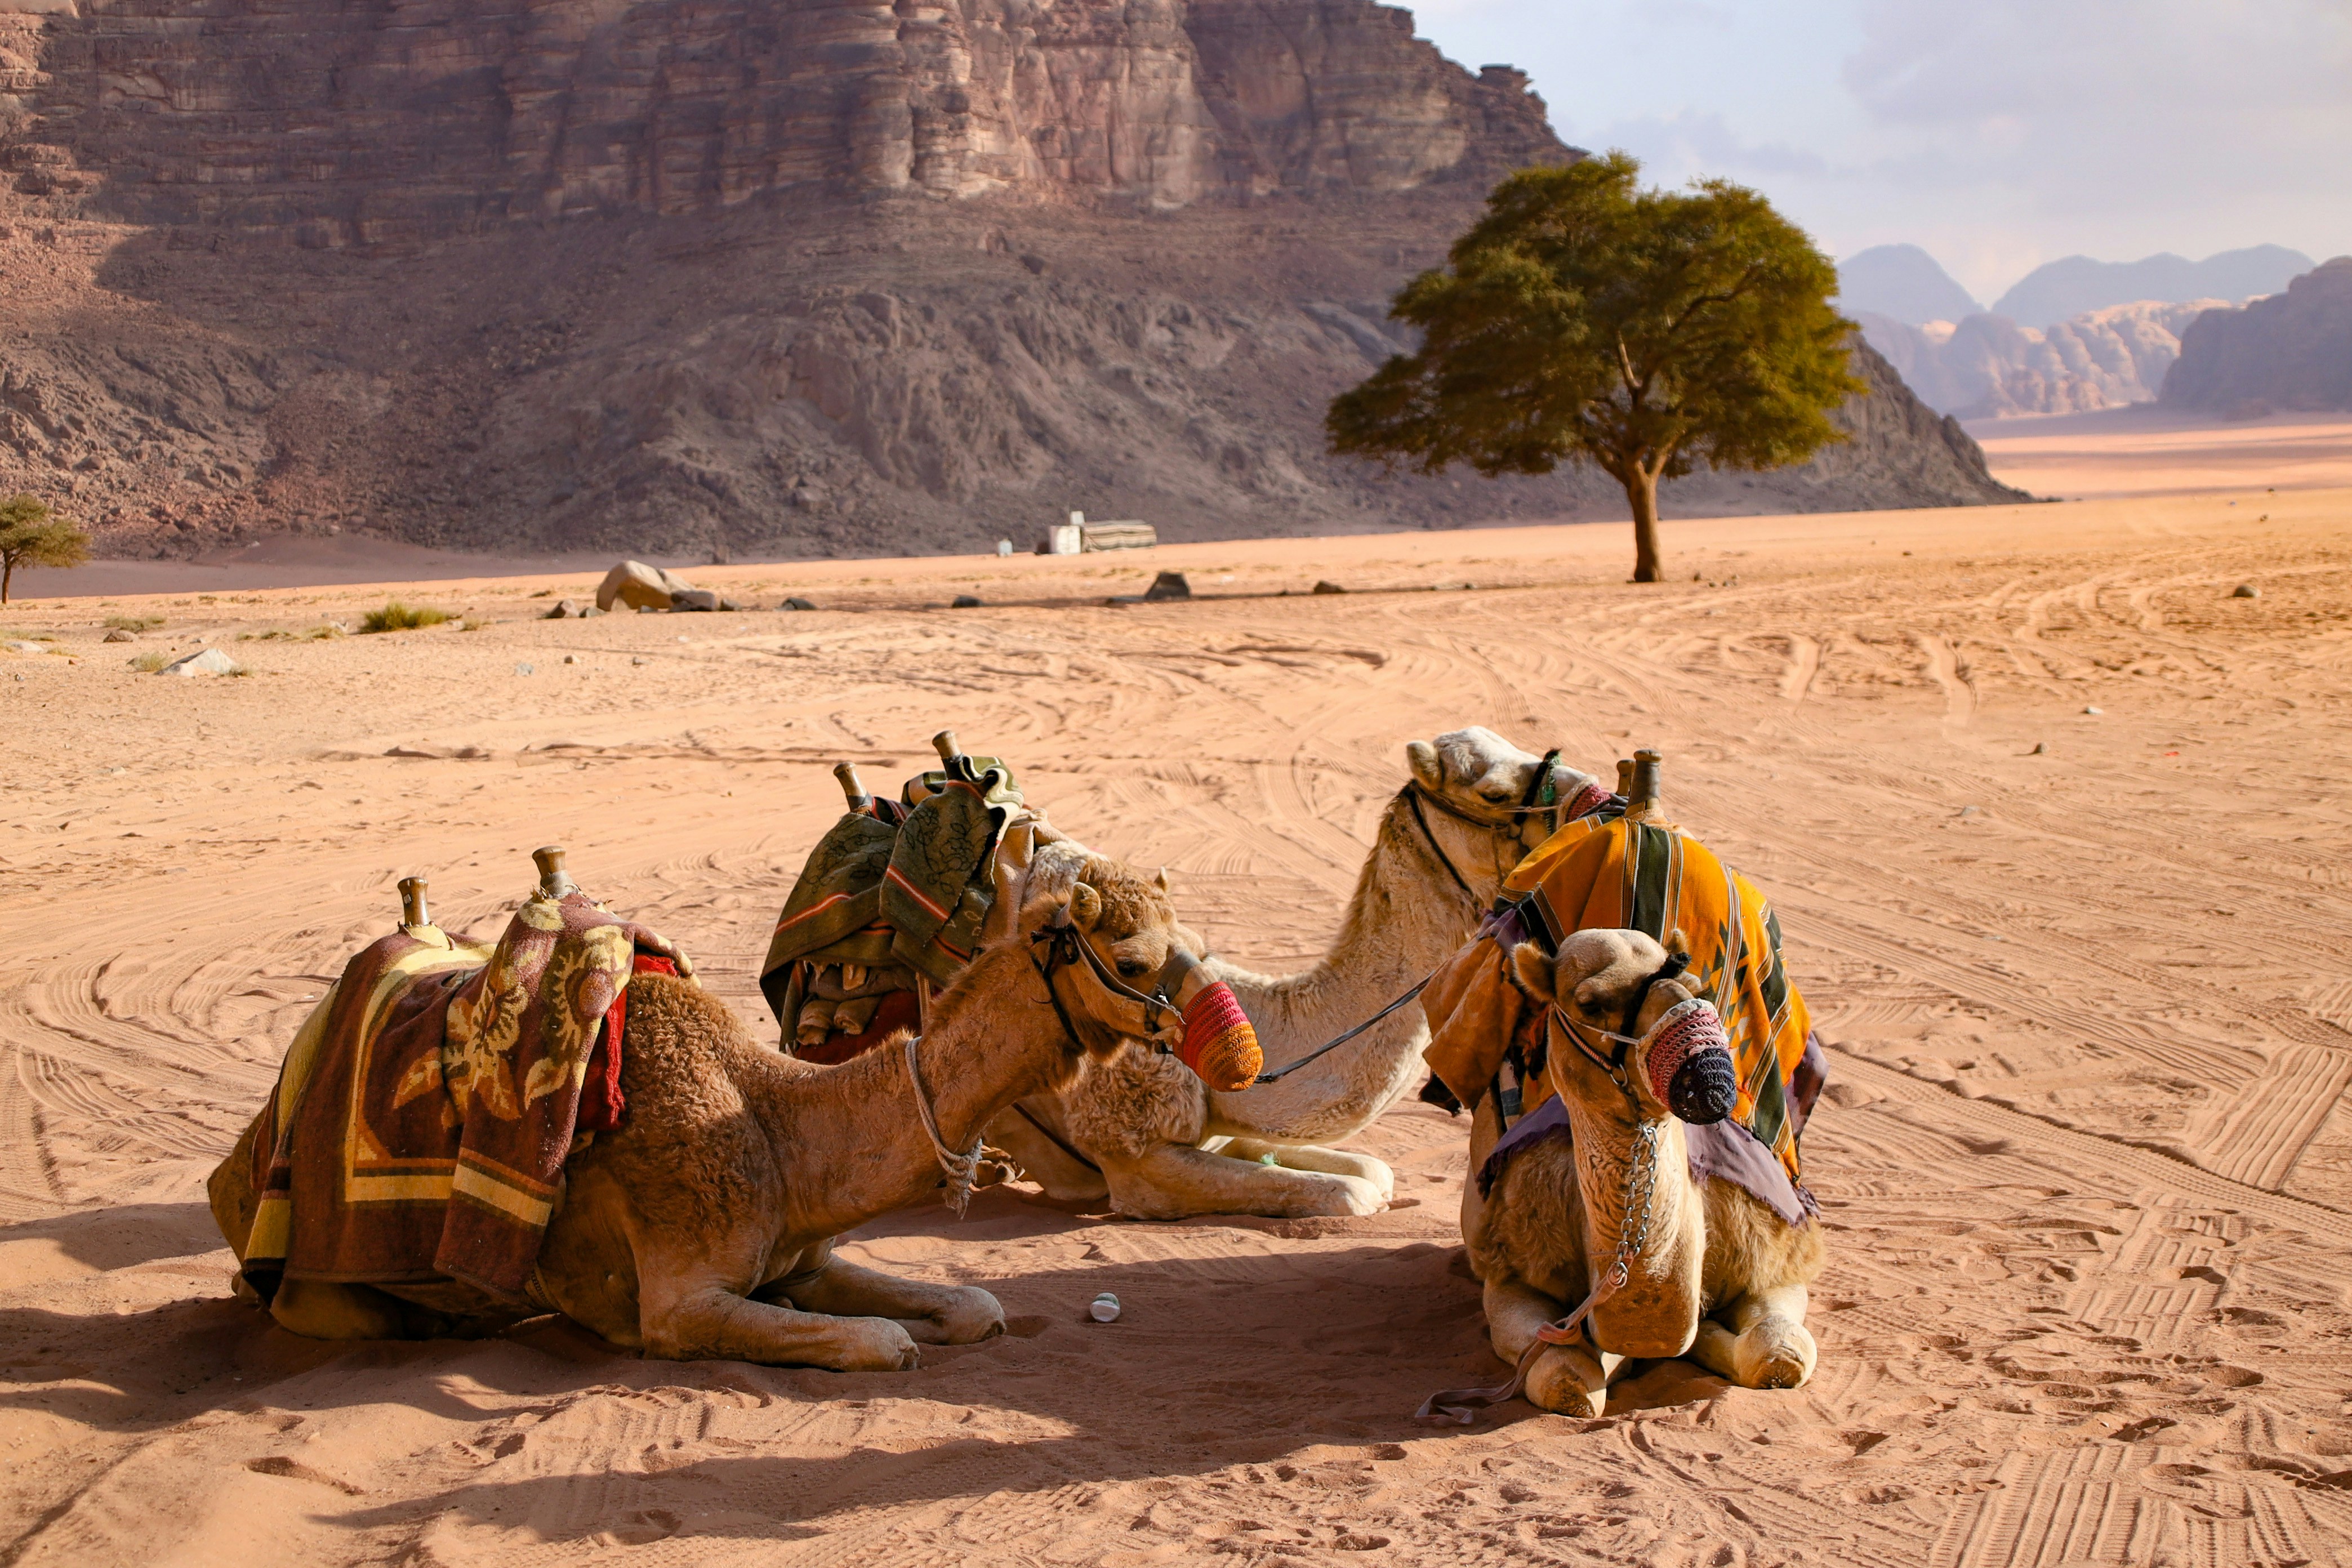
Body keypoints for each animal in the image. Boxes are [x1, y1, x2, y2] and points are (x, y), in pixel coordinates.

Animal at [209, 854, 1220, 1368]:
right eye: (1132, 959)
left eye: (1184, 937)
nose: (1203, 1027)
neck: (774, 1121)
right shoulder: (683, 1301)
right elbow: (886, 1342)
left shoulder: (807, 1254)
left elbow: (975, 1302)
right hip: (315, 1280)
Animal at [984, 728, 1609, 1219]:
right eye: (1494, 791)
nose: (1602, 799)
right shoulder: (1132, 1151)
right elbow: (1351, 1194)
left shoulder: (1217, 1132)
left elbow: (1373, 1172)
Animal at [1458, 928, 1824, 1418]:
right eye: (1590, 1003)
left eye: (1694, 984)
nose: (1707, 1070)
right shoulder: (1512, 1274)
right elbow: (1565, 1376)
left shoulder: (1772, 1260)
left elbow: (1777, 1353)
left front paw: (1706, 1338)